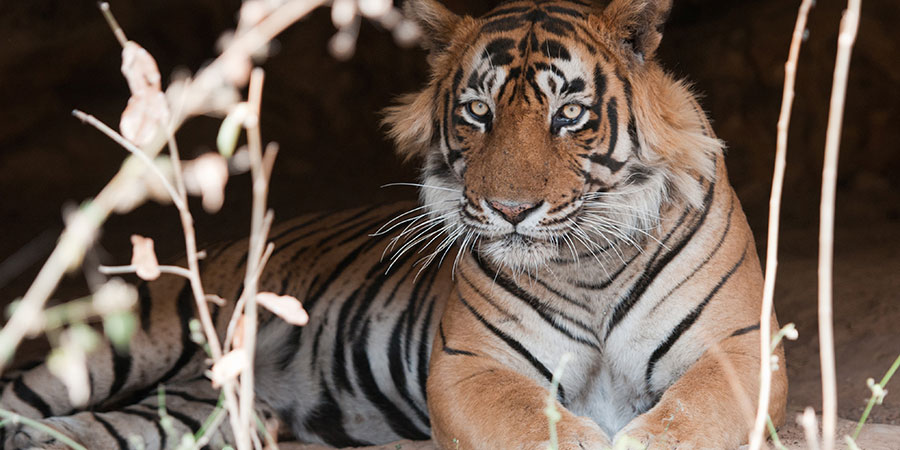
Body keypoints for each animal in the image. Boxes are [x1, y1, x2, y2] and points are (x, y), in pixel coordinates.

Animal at [0, 0, 788, 449]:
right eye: (477, 112)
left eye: (569, 113)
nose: (510, 211)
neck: (583, 263)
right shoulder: (471, 366)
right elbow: (540, 427)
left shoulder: (740, 347)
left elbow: (689, 420)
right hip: (123, 343)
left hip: (192, 406)